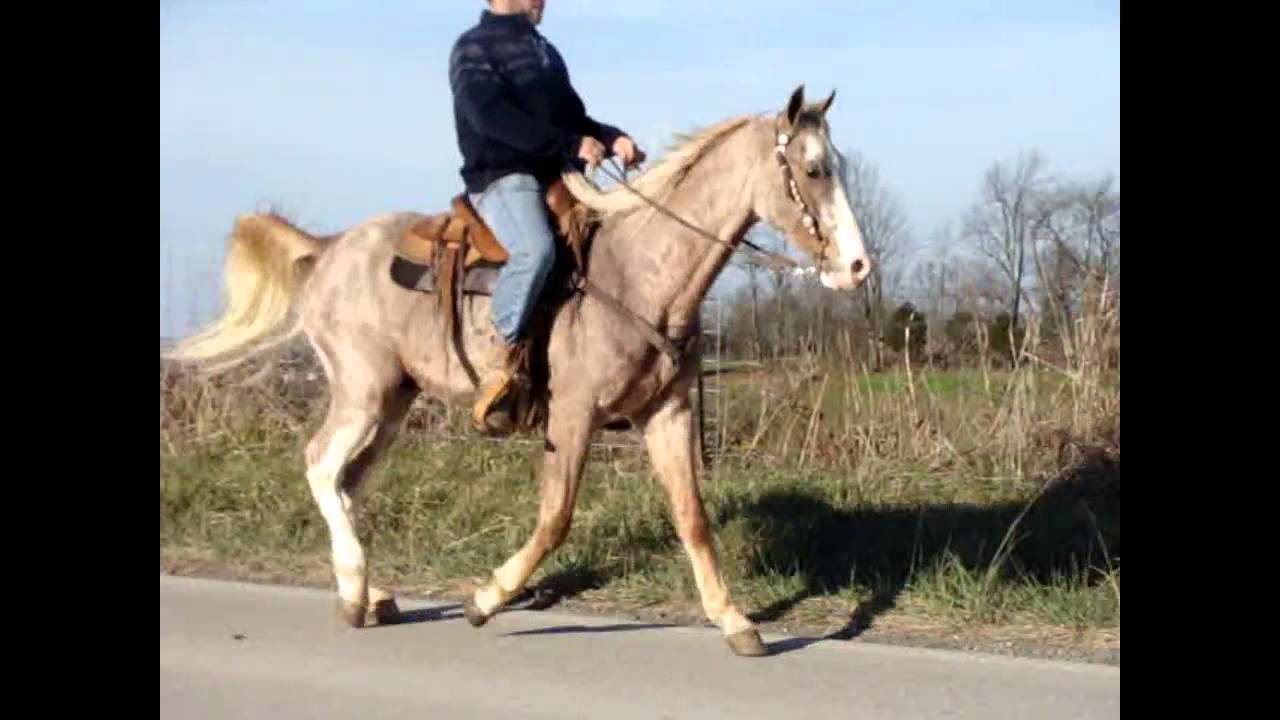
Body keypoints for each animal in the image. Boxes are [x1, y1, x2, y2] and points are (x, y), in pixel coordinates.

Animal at [163, 84, 872, 657]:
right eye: (814, 169)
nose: (858, 266)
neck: (639, 272)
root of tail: (330, 246)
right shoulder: (574, 414)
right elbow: (555, 517)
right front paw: (486, 598)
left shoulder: (667, 411)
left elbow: (691, 516)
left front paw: (734, 621)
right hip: (362, 390)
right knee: (320, 465)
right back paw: (357, 587)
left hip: (394, 402)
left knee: (347, 482)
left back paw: (367, 595)